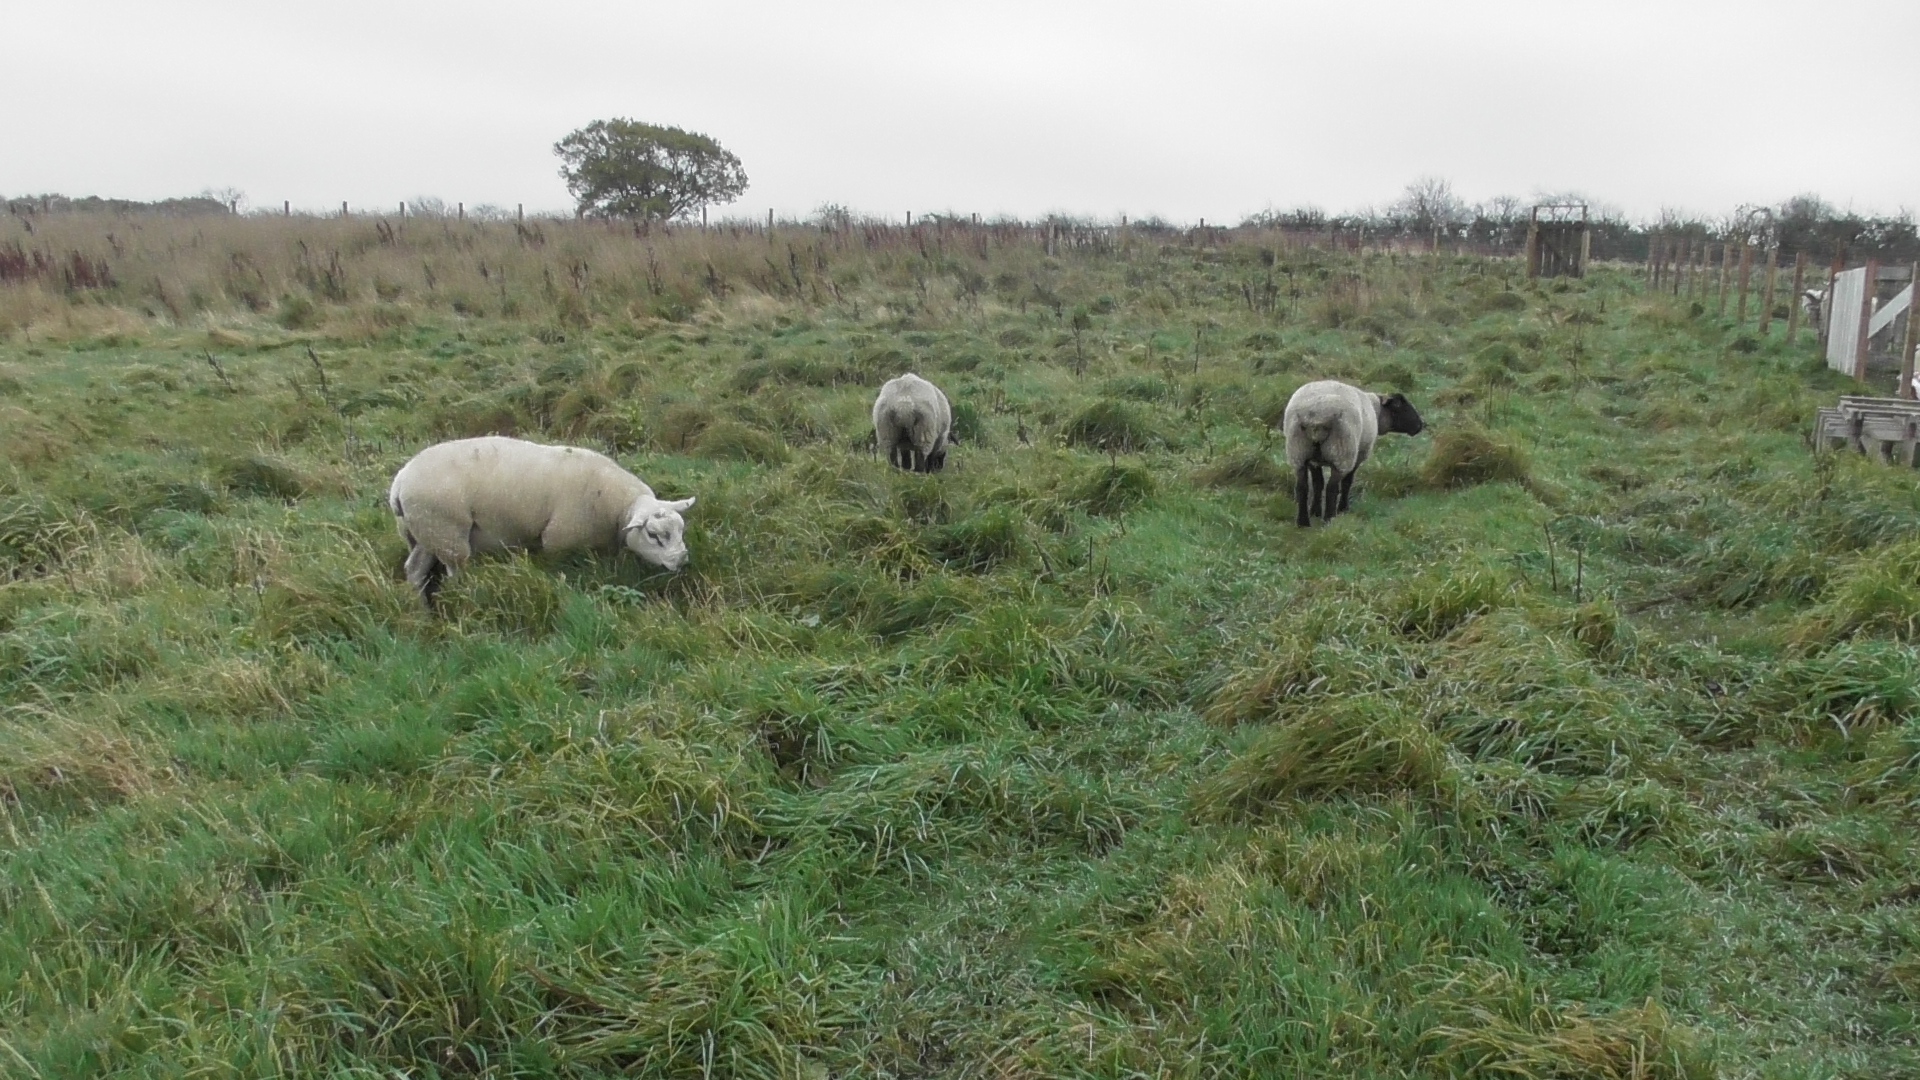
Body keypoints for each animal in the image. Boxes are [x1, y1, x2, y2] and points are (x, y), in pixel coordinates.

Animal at [388, 435, 694, 609]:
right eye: (654, 534)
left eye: (681, 530)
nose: (681, 560)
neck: (616, 507)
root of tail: (399, 483)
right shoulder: (560, 543)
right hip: (447, 532)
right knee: (454, 574)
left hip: (424, 533)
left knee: (414, 570)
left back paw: (421, 612)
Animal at [1282, 380, 1425, 528]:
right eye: (1400, 405)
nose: (1420, 425)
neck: (1376, 410)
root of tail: (1316, 417)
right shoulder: (1358, 456)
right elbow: (1347, 483)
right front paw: (1343, 508)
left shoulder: (1313, 461)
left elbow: (1317, 484)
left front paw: (1315, 512)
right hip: (1342, 452)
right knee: (1332, 488)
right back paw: (1329, 518)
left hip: (1298, 452)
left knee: (1302, 487)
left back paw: (1303, 522)